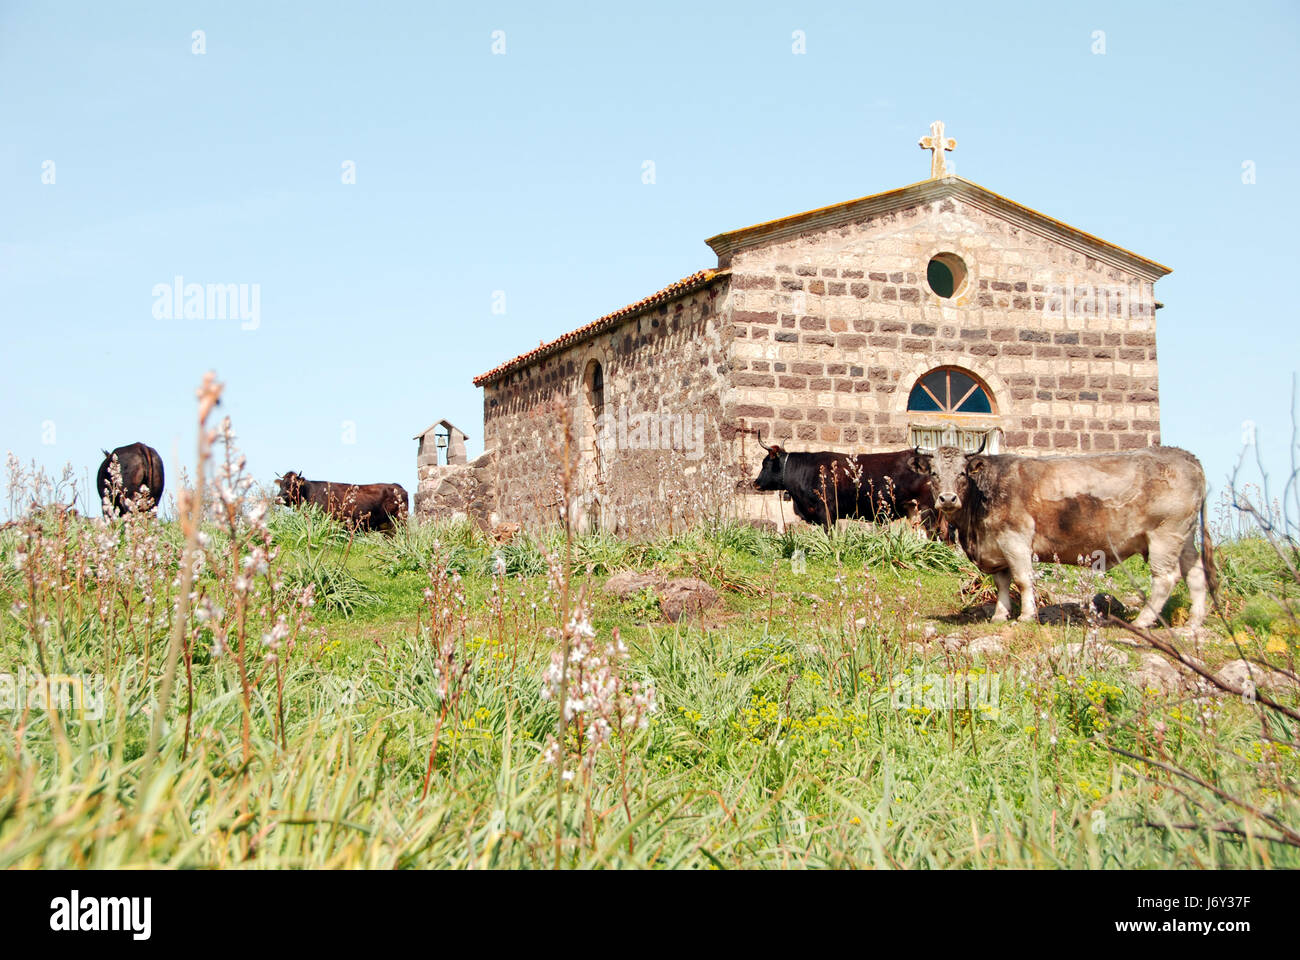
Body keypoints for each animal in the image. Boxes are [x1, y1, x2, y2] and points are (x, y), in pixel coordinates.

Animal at [910, 443, 1218, 629]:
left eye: (962, 473)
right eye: (934, 473)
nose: (947, 499)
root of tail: (1184, 455)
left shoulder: (1015, 540)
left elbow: (1023, 580)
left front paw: (1026, 615)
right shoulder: (996, 547)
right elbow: (1002, 584)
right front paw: (1000, 615)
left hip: (1165, 534)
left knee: (1165, 578)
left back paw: (1143, 621)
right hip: (1185, 538)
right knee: (1195, 574)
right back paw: (1193, 622)